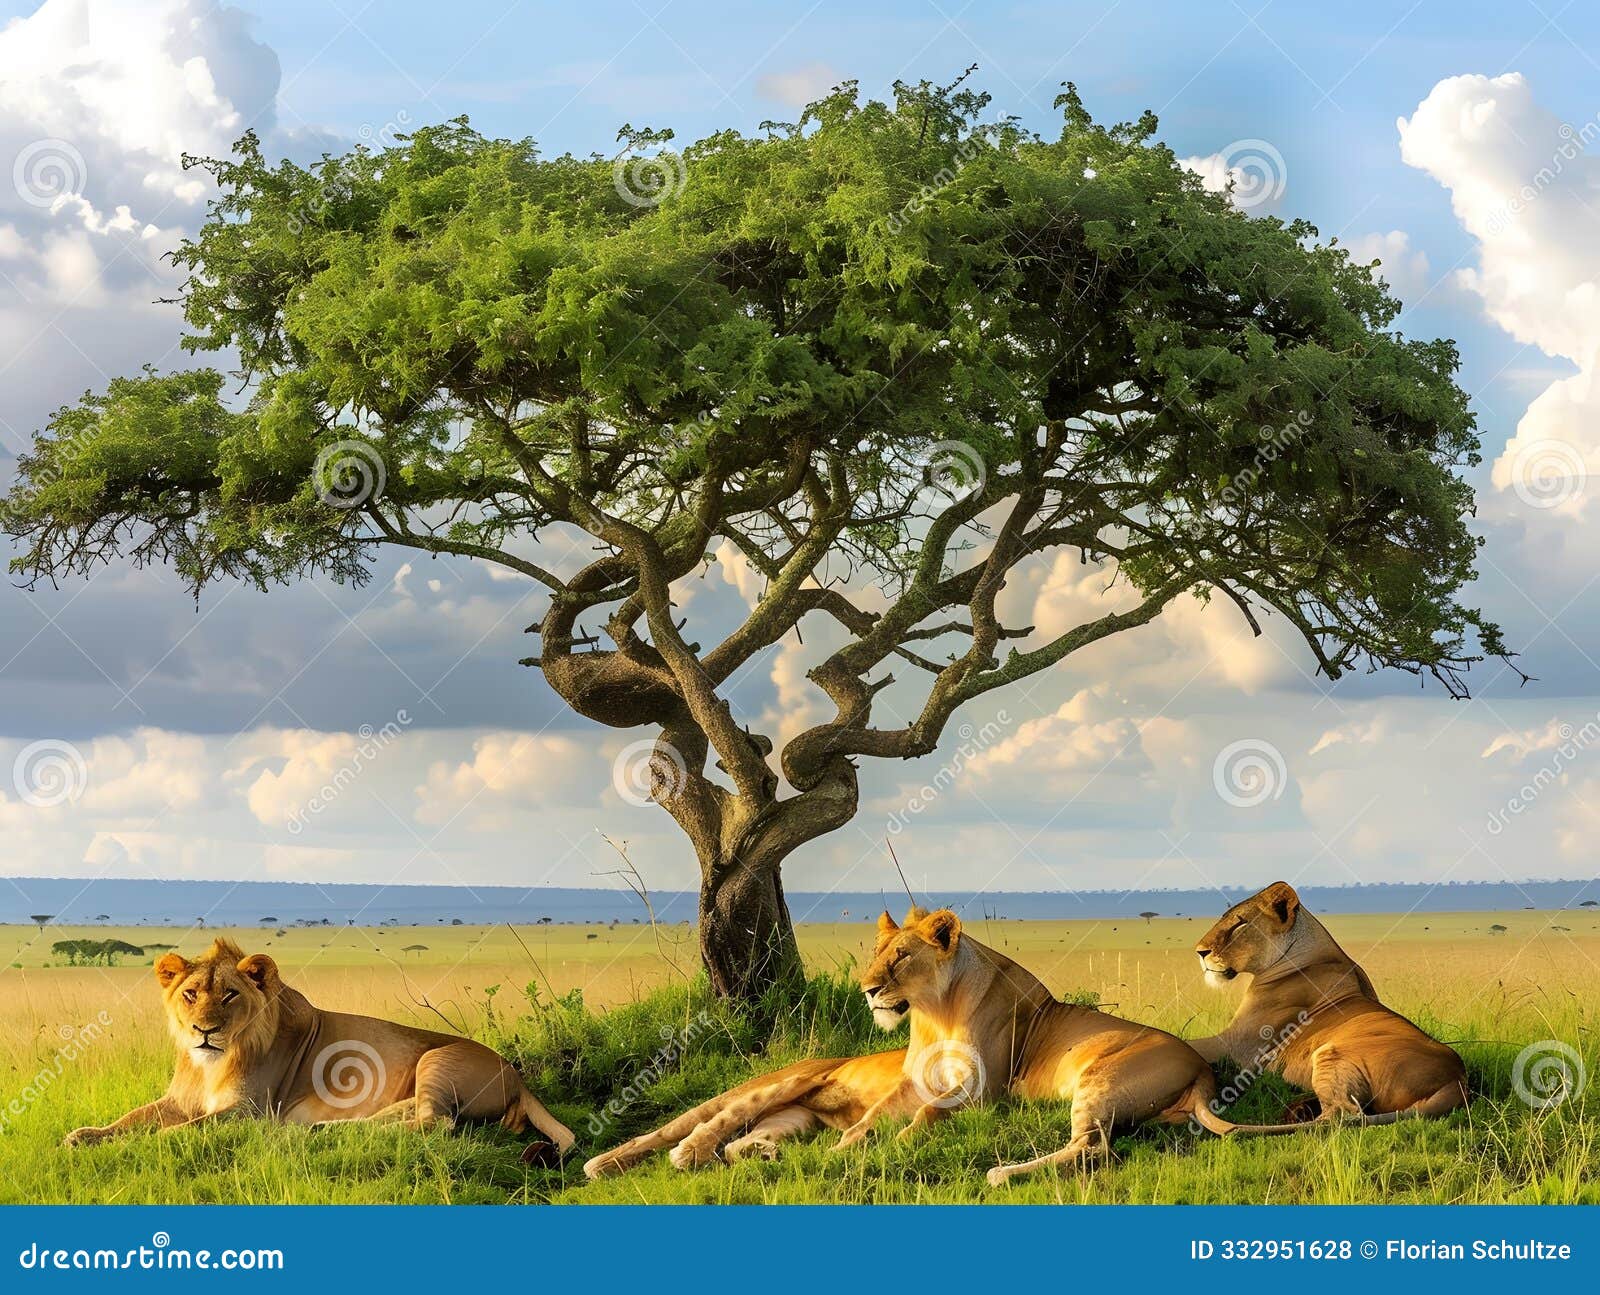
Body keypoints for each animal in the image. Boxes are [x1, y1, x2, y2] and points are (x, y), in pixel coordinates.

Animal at [63, 938, 576, 1155]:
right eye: (190, 994)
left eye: (229, 995)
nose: (203, 1030)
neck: (209, 1064)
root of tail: (517, 1076)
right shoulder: (178, 1100)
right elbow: (131, 1118)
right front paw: (84, 1135)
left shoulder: (249, 1111)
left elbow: (186, 1129)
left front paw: (156, 1140)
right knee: (407, 1114)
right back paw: (320, 1130)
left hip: (437, 1057)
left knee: (437, 1123)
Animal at [846, 907, 1308, 1186]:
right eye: (877, 952)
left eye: (902, 956)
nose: (868, 990)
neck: (933, 1014)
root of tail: (1203, 1071)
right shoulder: (916, 1080)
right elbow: (869, 1116)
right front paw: (842, 1148)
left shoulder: (983, 1091)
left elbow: (926, 1114)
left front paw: (898, 1143)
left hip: (1099, 1081)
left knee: (1093, 1148)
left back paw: (1003, 1174)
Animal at [1191, 881, 1467, 1121]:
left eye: (1240, 924)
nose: (1200, 952)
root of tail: (1456, 1079)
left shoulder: (1236, 1046)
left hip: (1329, 1054)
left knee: (1342, 1116)